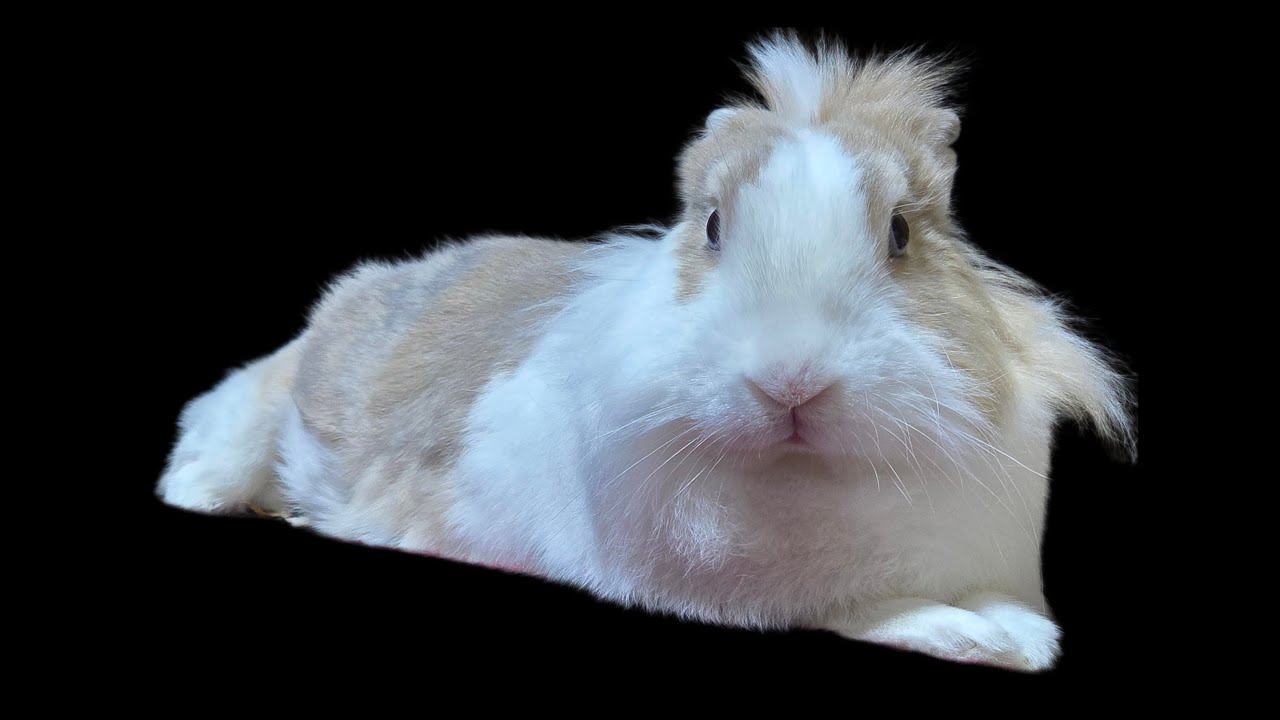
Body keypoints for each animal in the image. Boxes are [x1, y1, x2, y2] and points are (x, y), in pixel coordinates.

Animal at [157, 33, 1134, 672]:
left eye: (900, 234)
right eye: (710, 226)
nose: (791, 382)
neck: (807, 478)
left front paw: (1018, 632)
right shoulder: (758, 595)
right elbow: (865, 609)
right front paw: (975, 637)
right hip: (261, 410)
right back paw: (207, 498)